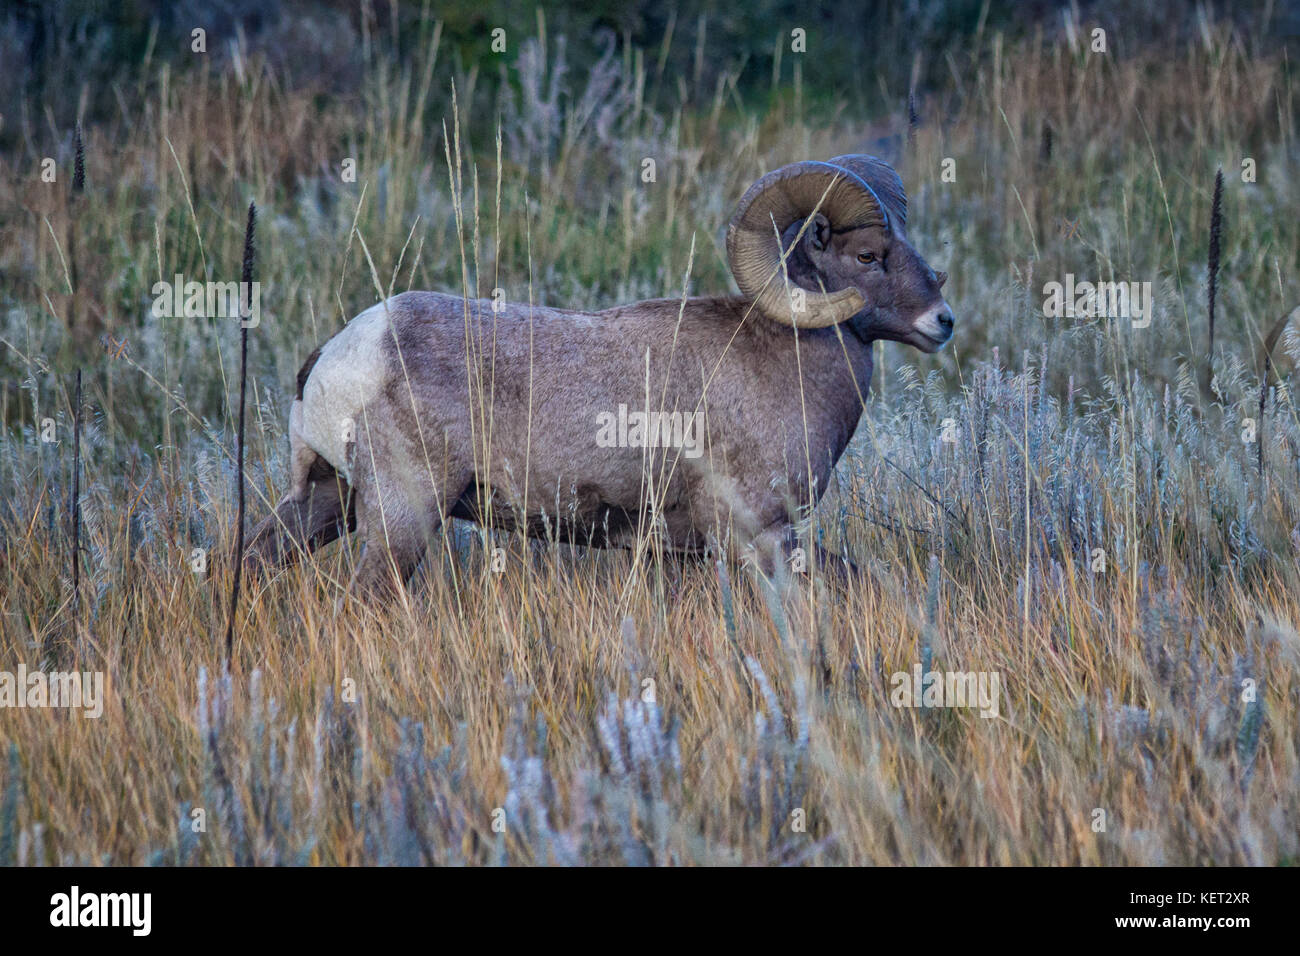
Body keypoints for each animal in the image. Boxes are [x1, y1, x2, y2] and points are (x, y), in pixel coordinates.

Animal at [244, 154, 954, 596]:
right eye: (869, 256)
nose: (942, 322)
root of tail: (342, 352)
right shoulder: (759, 532)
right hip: (403, 517)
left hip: (327, 499)